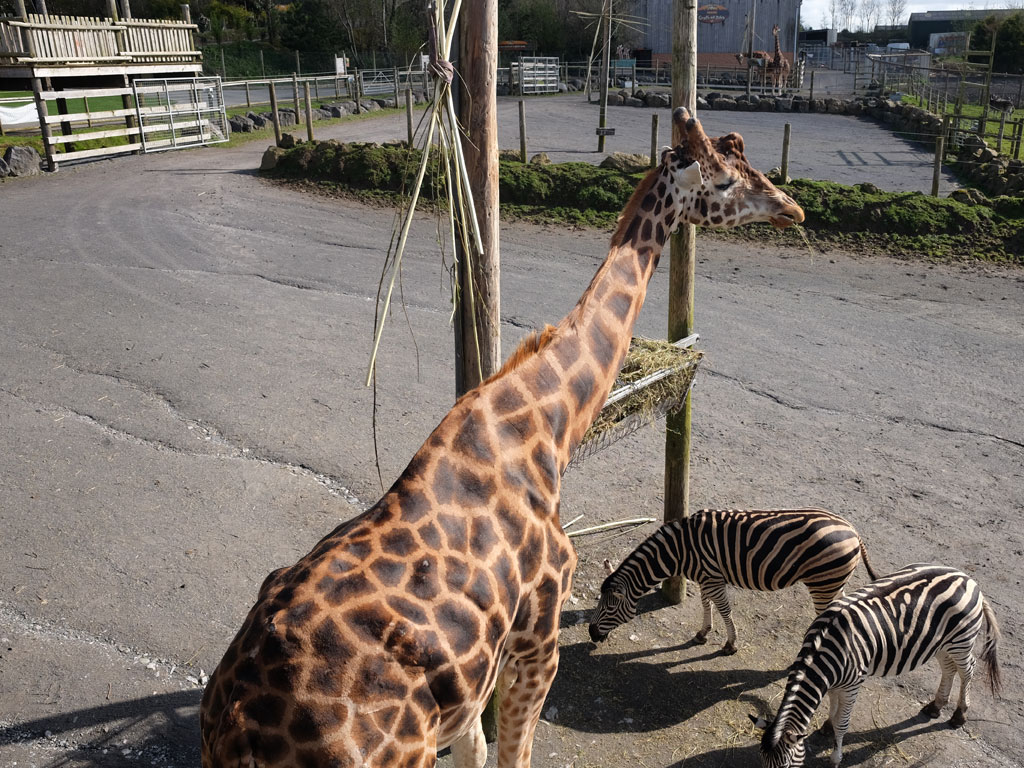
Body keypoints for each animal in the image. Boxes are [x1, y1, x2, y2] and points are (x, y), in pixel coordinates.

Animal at [198, 107, 804, 768]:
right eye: (724, 181)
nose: (792, 209)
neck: (545, 427)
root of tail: (239, 732)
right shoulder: (539, 640)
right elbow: (517, 754)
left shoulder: (472, 688)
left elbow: (480, 752)